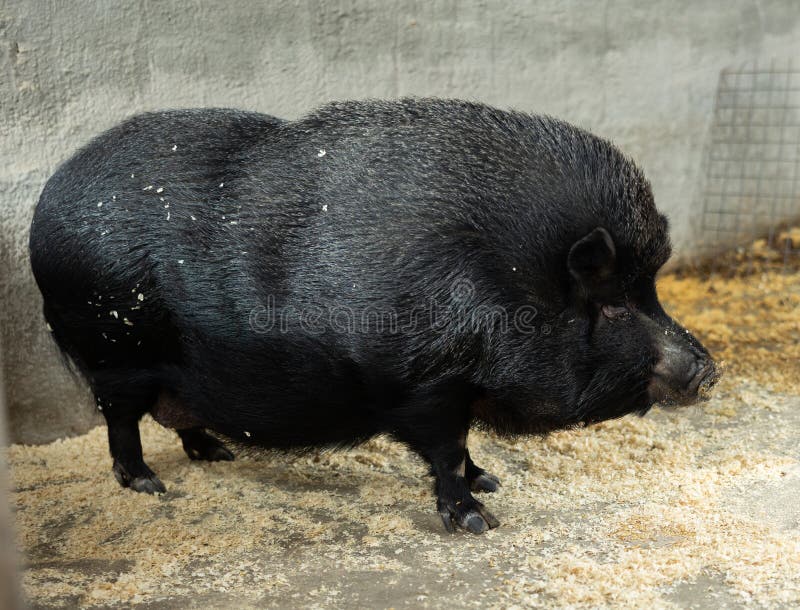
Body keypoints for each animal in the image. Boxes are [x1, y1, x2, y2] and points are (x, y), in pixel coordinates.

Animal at [29, 99, 718, 534]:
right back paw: (149, 485)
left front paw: (492, 483)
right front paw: (480, 521)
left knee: (178, 416)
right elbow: (447, 453)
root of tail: (48, 200)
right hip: (114, 354)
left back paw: (216, 454)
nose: (709, 370)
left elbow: (465, 451)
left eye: (649, 292)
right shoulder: (426, 386)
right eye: (614, 303)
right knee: (122, 423)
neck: (501, 284)